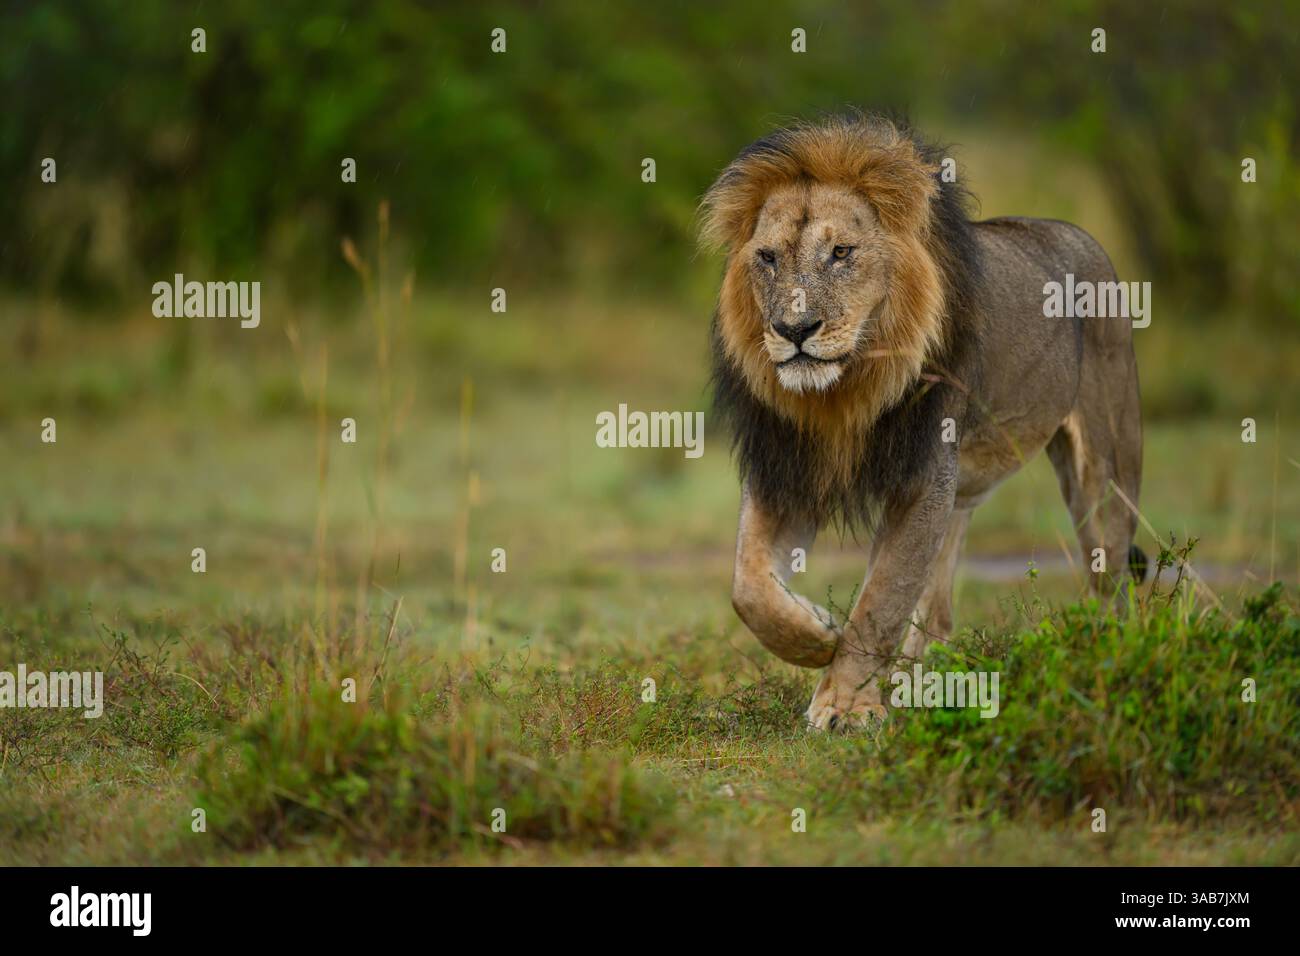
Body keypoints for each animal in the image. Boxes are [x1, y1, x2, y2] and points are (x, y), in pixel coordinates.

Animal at [701, 113, 1144, 731]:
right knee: (938, 610)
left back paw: (1105, 655)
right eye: (767, 258)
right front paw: (817, 635)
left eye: (841, 252)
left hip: (1105, 464)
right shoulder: (789, 469)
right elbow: (748, 587)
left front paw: (846, 705)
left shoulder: (924, 475)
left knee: (1111, 575)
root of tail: (1079, 235)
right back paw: (918, 681)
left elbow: (882, 599)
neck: (845, 394)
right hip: (963, 496)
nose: (794, 330)